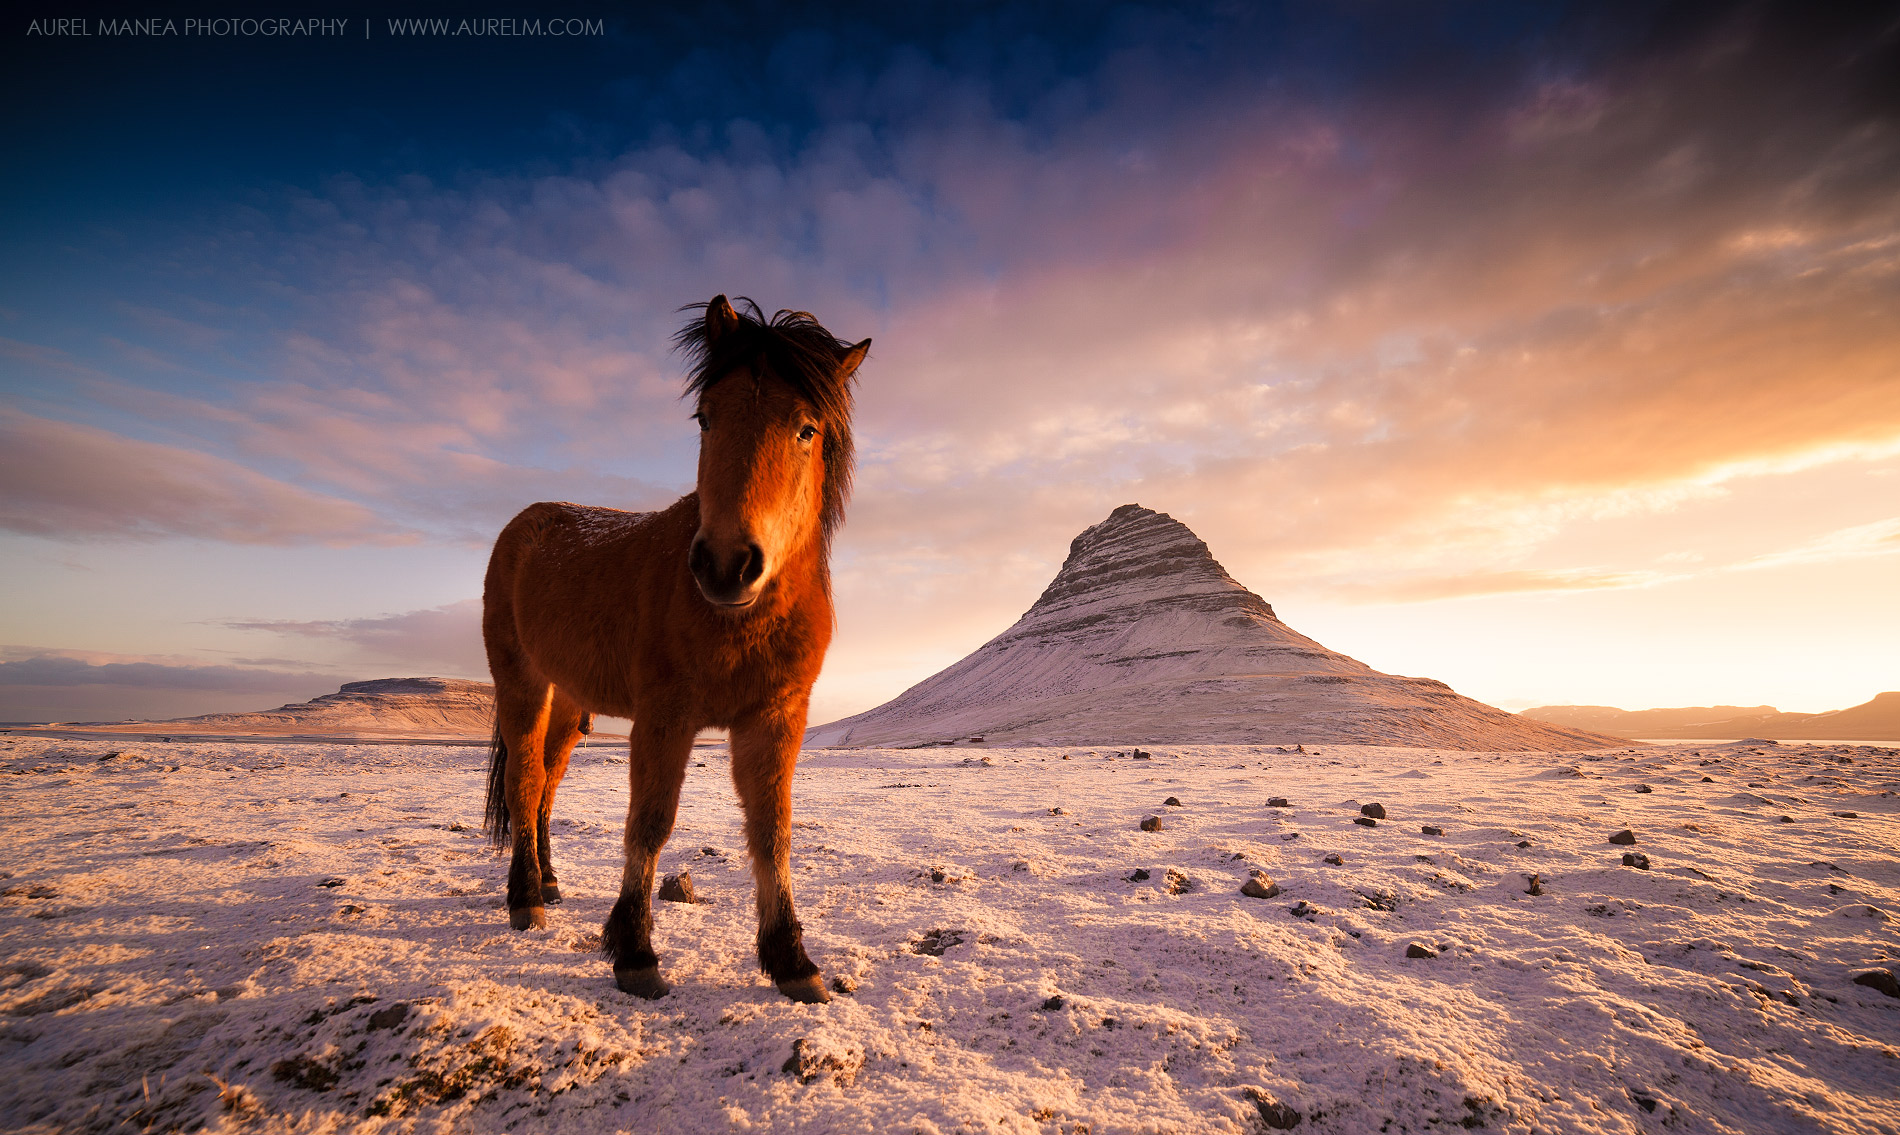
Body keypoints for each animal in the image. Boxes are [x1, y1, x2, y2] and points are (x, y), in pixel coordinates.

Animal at [481, 295, 869, 1004]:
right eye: (705, 416)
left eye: (808, 429)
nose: (726, 565)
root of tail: (525, 523)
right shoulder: (665, 716)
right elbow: (651, 821)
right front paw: (635, 952)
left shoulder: (776, 718)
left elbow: (771, 831)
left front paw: (792, 960)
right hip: (522, 683)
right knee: (524, 781)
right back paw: (525, 899)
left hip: (569, 701)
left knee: (546, 783)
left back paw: (549, 881)